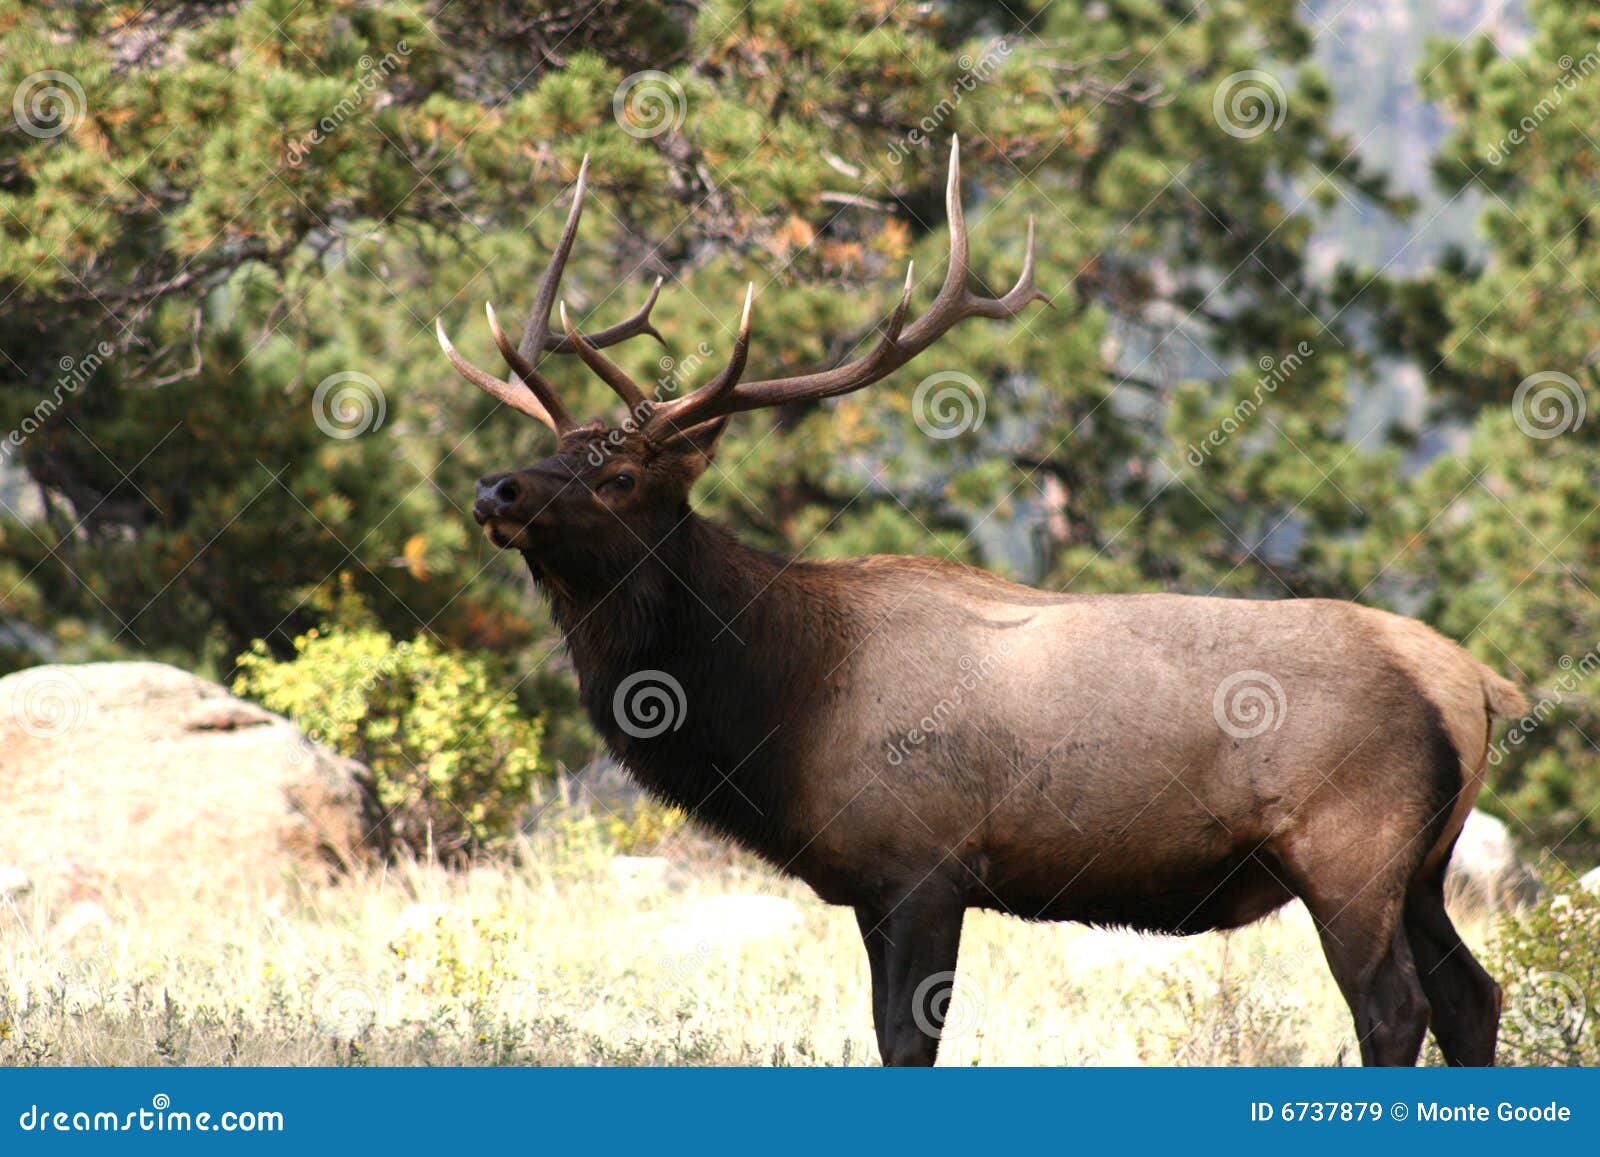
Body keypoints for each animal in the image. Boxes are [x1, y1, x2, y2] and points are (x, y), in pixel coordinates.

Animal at [438, 139, 1527, 1067]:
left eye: (620, 475)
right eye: (553, 448)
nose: (496, 489)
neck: (783, 706)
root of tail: (1473, 680)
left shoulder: (924, 860)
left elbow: (906, 1038)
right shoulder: (873, 885)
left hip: (1349, 846)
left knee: (1395, 1007)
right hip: (1423, 863)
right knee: (1473, 993)